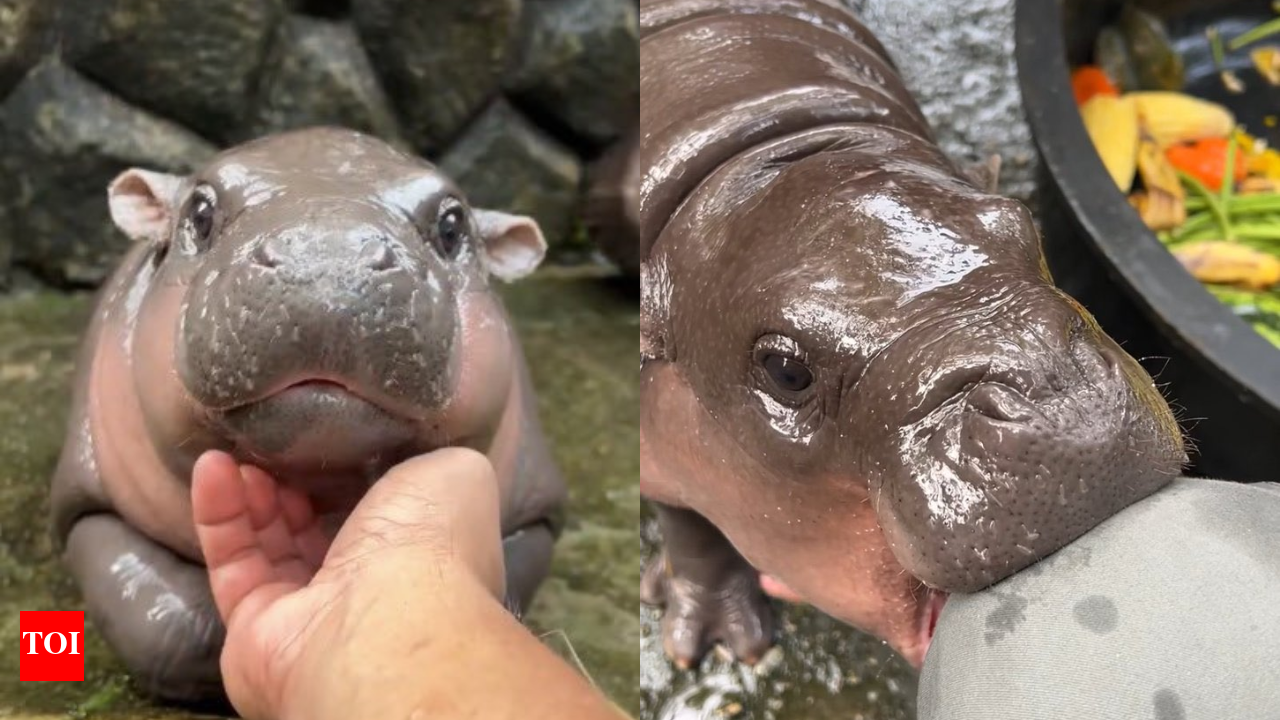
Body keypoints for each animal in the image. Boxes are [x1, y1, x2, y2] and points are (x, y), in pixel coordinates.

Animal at [50, 128, 566, 701]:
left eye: (453, 225)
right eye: (200, 212)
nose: (327, 258)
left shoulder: (536, 515)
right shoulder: (86, 504)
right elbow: (168, 625)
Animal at [637, 0, 1186, 670]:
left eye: (1023, 222)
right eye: (786, 371)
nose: (1059, 393)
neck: (763, 151)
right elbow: (689, 528)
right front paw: (719, 640)